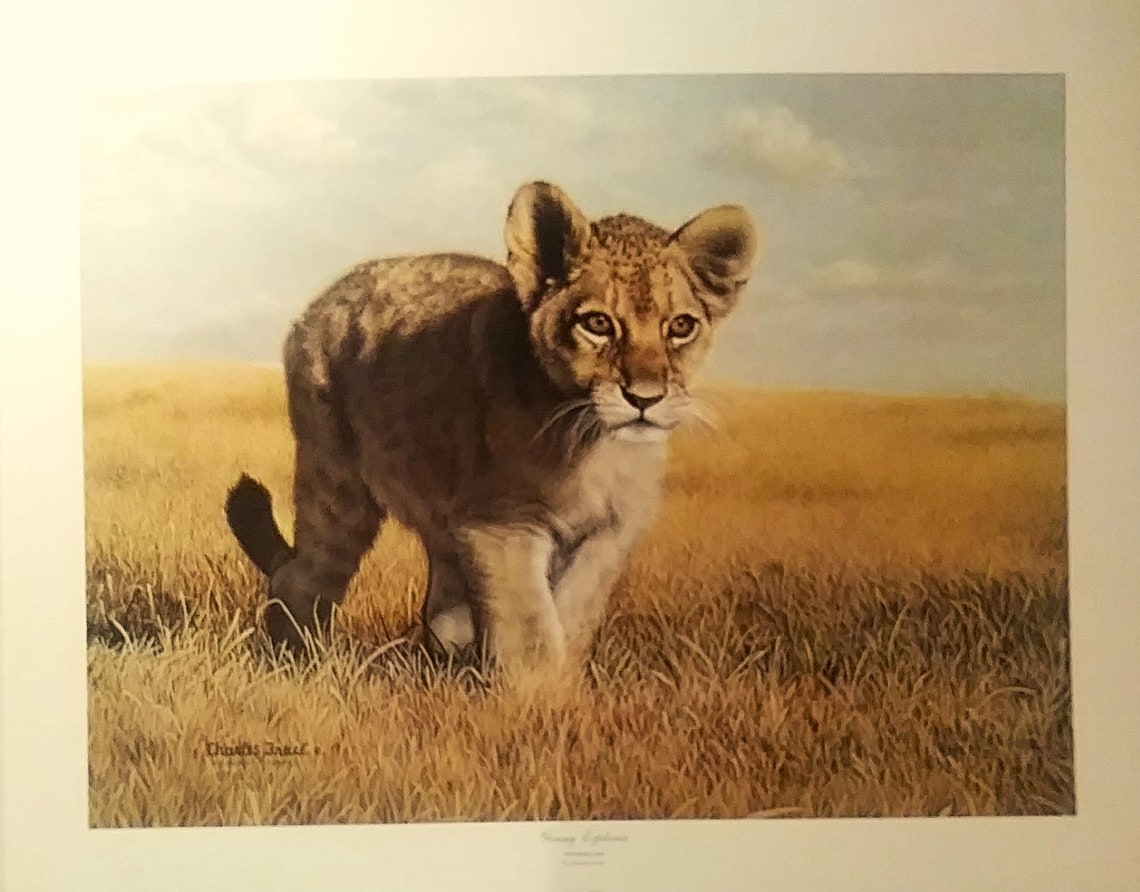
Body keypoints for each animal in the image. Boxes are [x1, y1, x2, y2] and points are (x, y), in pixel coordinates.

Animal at [225, 181, 759, 672]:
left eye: (681, 327)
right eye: (598, 324)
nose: (645, 398)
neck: (594, 443)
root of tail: (324, 298)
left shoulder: (612, 529)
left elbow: (574, 609)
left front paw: (562, 685)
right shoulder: (502, 524)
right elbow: (530, 628)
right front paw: (538, 702)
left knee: (441, 604)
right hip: (337, 486)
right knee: (304, 574)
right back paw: (297, 663)